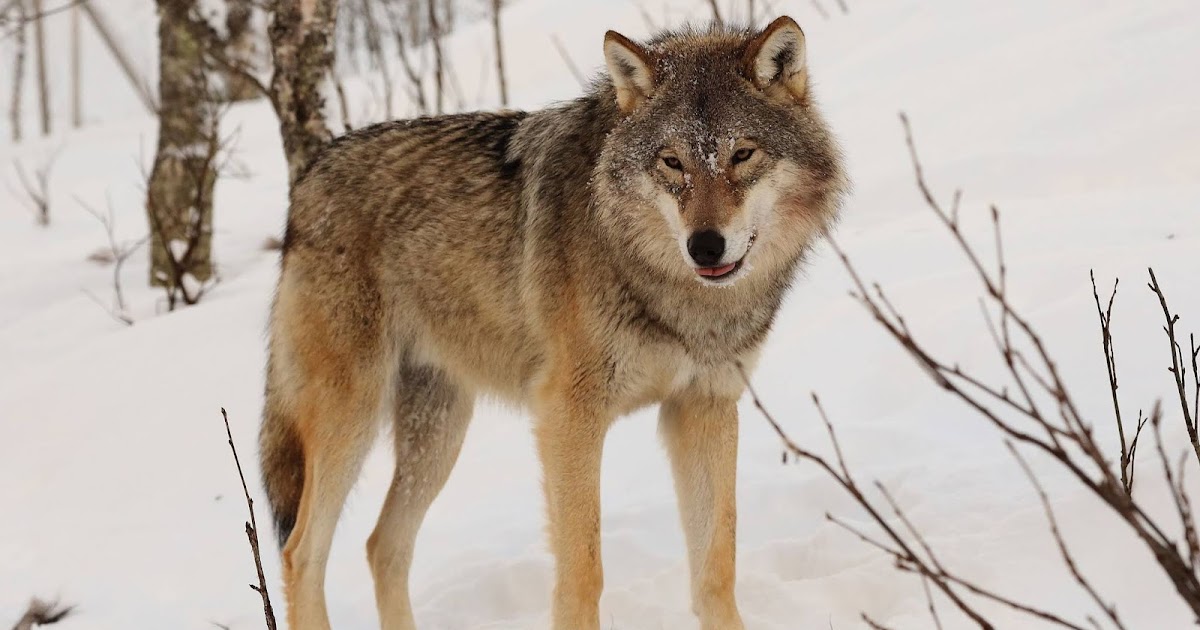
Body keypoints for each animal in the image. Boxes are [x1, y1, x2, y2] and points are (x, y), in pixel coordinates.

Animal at [260, 15, 845, 630]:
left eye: (742, 154)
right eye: (672, 162)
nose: (705, 246)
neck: (673, 293)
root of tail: (307, 180)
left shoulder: (704, 405)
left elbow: (716, 564)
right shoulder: (568, 415)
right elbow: (583, 571)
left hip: (438, 433)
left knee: (383, 546)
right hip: (352, 418)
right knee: (302, 552)